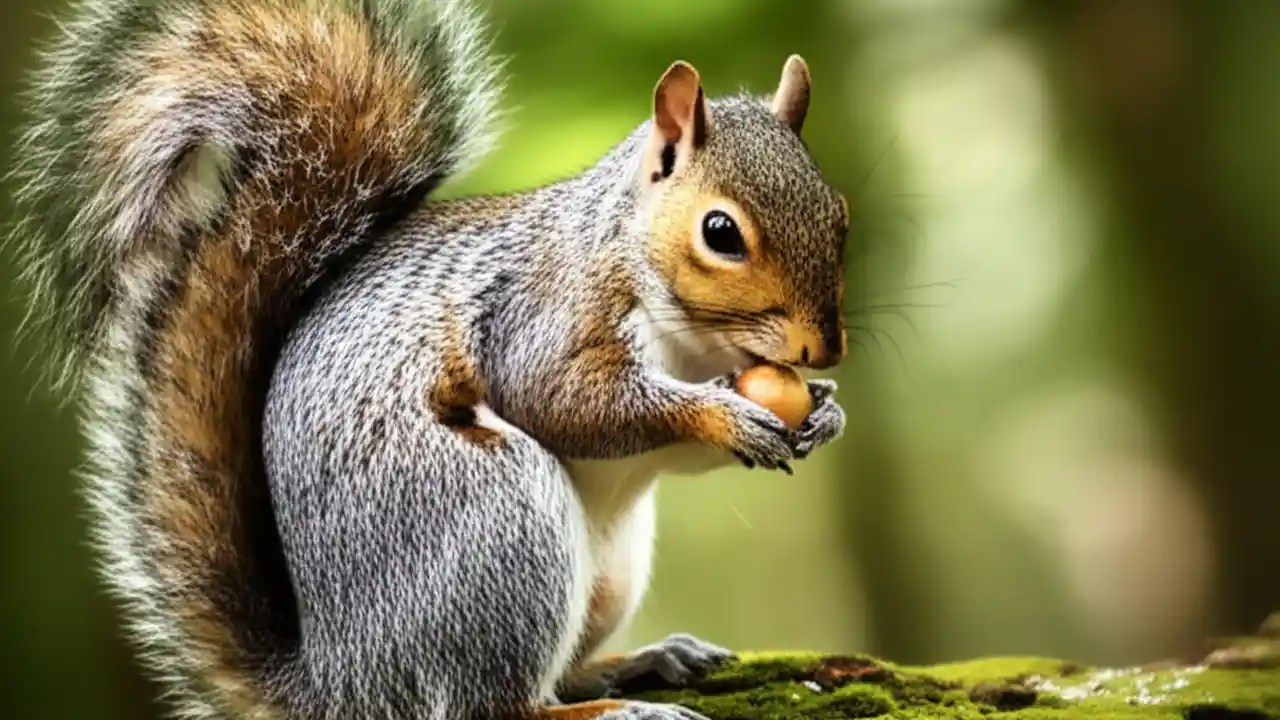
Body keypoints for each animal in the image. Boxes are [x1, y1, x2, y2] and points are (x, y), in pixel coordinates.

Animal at [11, 0, 850, 718]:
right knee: (496, 705)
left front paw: (823, 411)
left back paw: (638, 664)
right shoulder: (545, 311)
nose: (824, 347)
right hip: (498, 519)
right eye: (720, 231)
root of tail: (344, 684)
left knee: (556, 673)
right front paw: (726, 415)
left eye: (839, 212)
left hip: (608, 575)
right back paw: (616, 709)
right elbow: (567, 401)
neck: (691, 335)